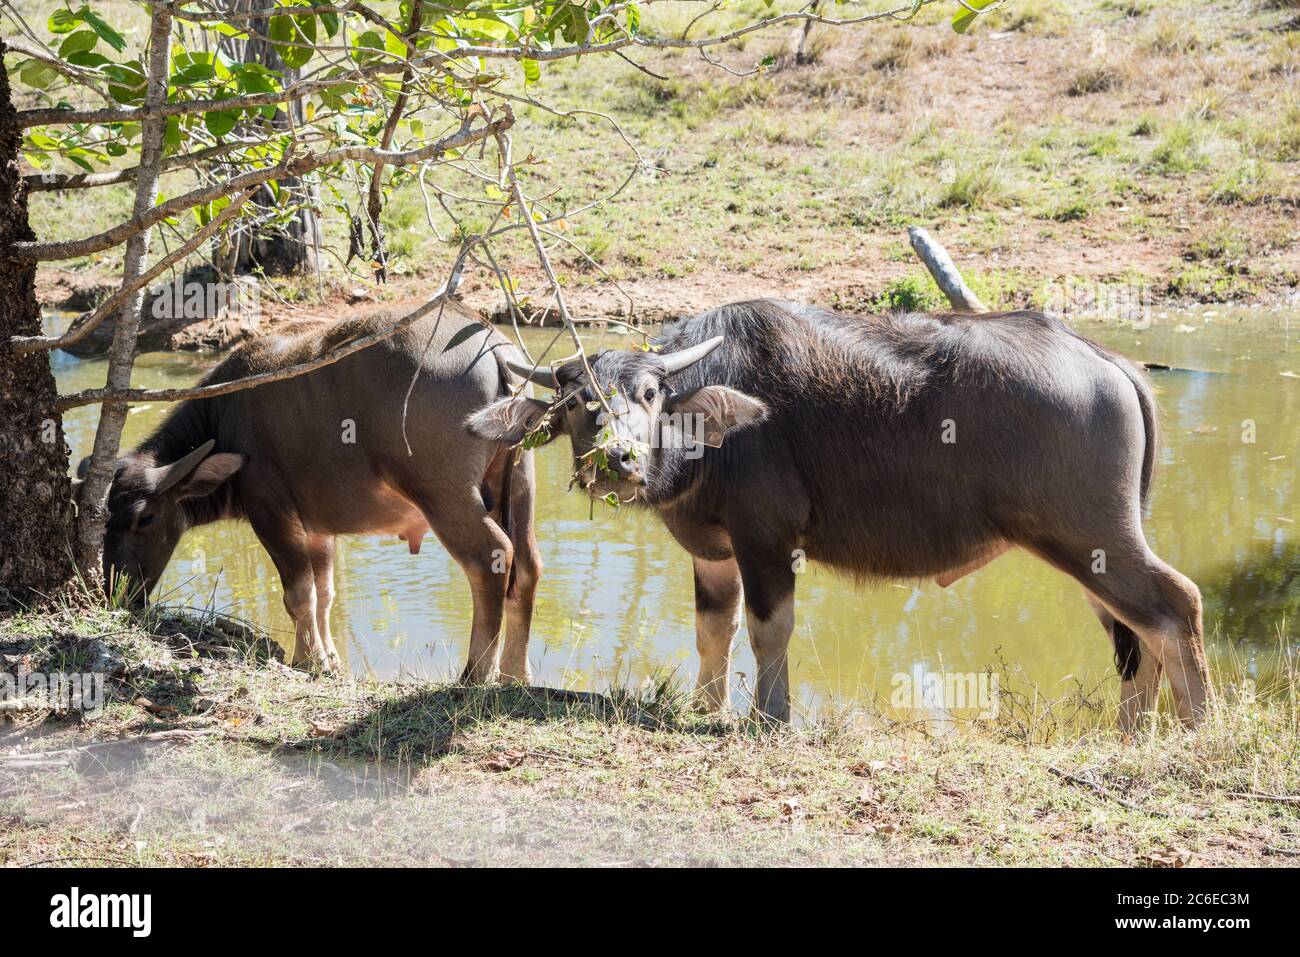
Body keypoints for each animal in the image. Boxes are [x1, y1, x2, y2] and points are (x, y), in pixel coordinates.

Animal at [468, 299, 1210, 729]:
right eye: (576, 404)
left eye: (649, 394)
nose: (616, 460)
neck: (718, 427)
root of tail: (1105, 359)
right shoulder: (713, 552)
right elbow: (714, 630)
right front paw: (707, 708)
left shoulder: (766, 539)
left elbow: (768, 629)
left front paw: (771, 716)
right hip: (1093, 551)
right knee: (1136, 634)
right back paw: (1133, 736)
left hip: (1091, 538)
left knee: (1176, 605)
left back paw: (1198, 731)